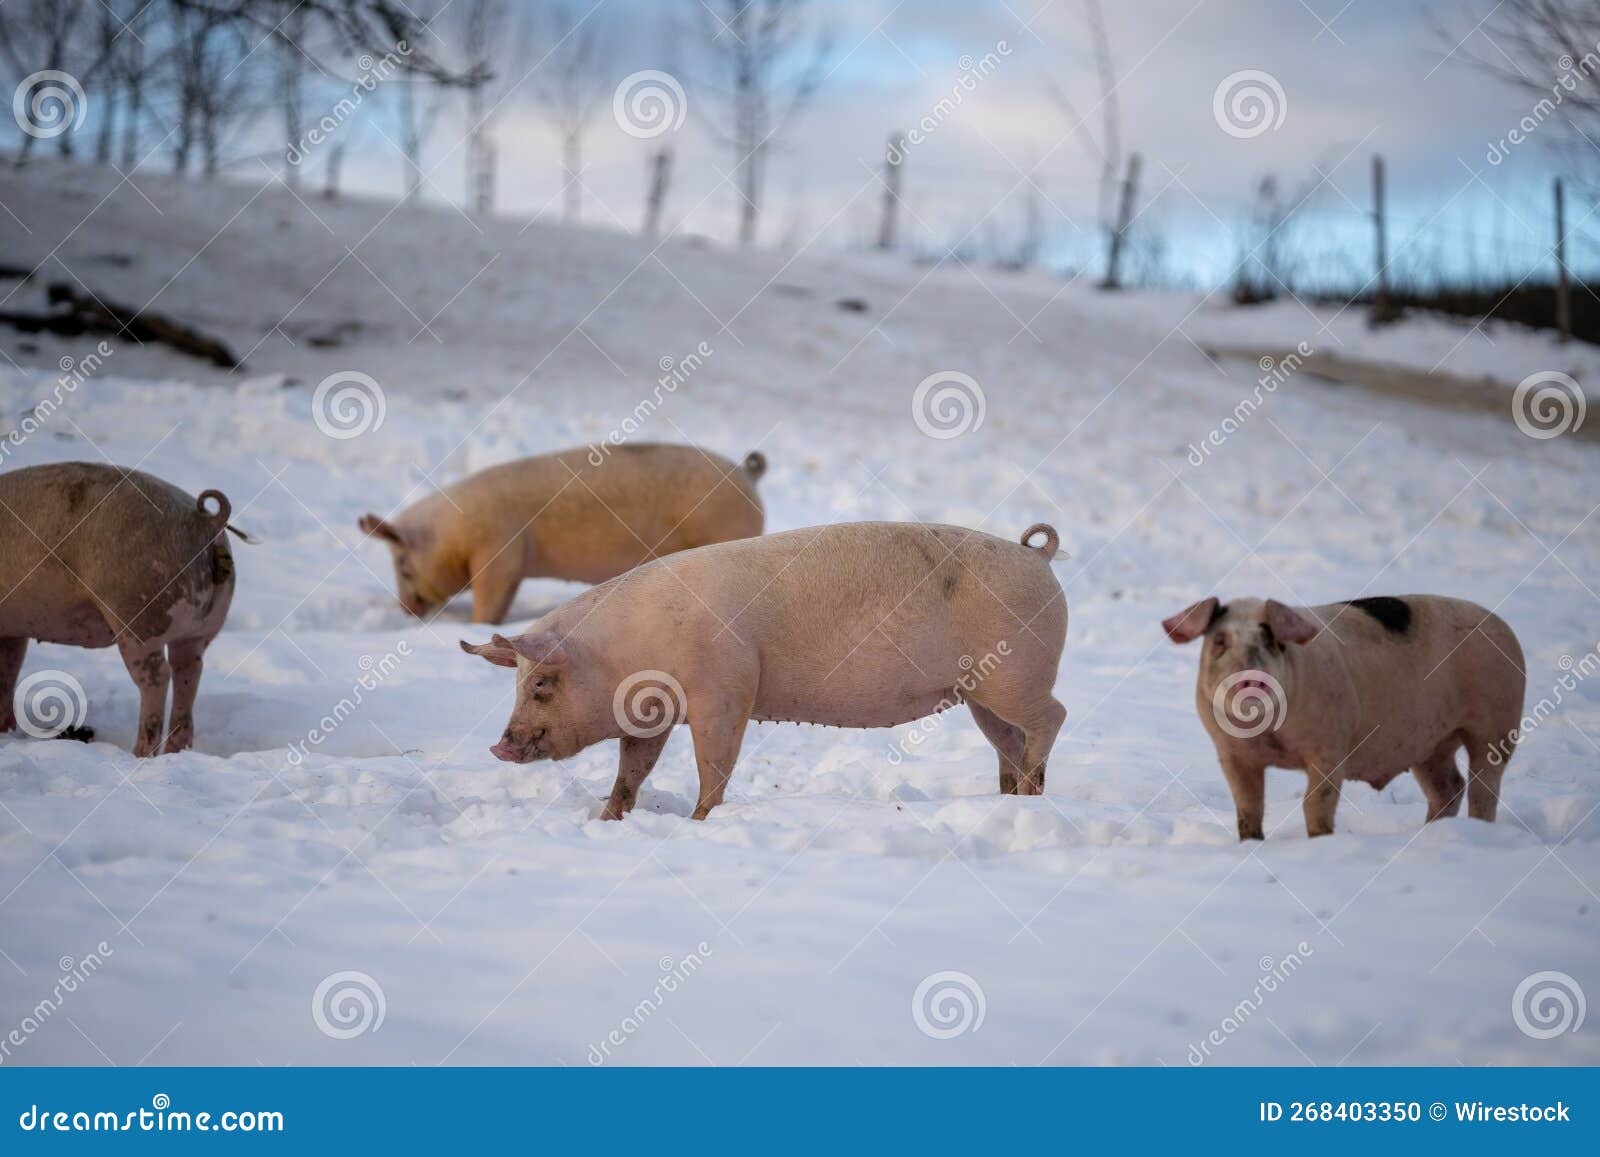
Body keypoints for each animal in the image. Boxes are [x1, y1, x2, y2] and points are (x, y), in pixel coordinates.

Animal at [0, 462, 249, 756]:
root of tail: (206, 521)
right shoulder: (13, 630)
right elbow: (9, 668)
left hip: (138, 616)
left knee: (157, 676)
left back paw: (140, 753)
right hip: (200, 628)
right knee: (189, 670)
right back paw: (176, 751)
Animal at [360, 443, 767, 624]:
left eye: (402, 563)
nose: (405, 610)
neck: (452, 537)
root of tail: (747, 475)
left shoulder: (497, 554)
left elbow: (487, 602)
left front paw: (477, 626)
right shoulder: (514, 569)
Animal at [461, 521, 1068, 820]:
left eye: (541, 683)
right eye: (515, 681)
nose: (499, 746)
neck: (625, 654)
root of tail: (1037, 557)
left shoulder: (726, 692)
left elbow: (714, 764)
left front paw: (701, 821)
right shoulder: (652, 717)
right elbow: (633, 771)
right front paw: (608, 820)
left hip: (1016, 676)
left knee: (1053, 717)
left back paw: (1032, 790)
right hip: (979, 695)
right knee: (1008, 742)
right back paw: (1014, 798)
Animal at [1162, 594, 1526, 840]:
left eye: (1269, 639)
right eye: (1219, 641)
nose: (1251, 676)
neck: (1271, 736)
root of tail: (1502, 624)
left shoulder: (1331, 748)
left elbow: (1315, 801)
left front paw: (1319, 841)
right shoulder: (1231, 754)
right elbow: (1248, 805)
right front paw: (1251, 843)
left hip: (1497, 723)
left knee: (1483, 785)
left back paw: (1476, 829)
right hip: (1430, 745)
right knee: (1449, 786)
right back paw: (1429, 832)